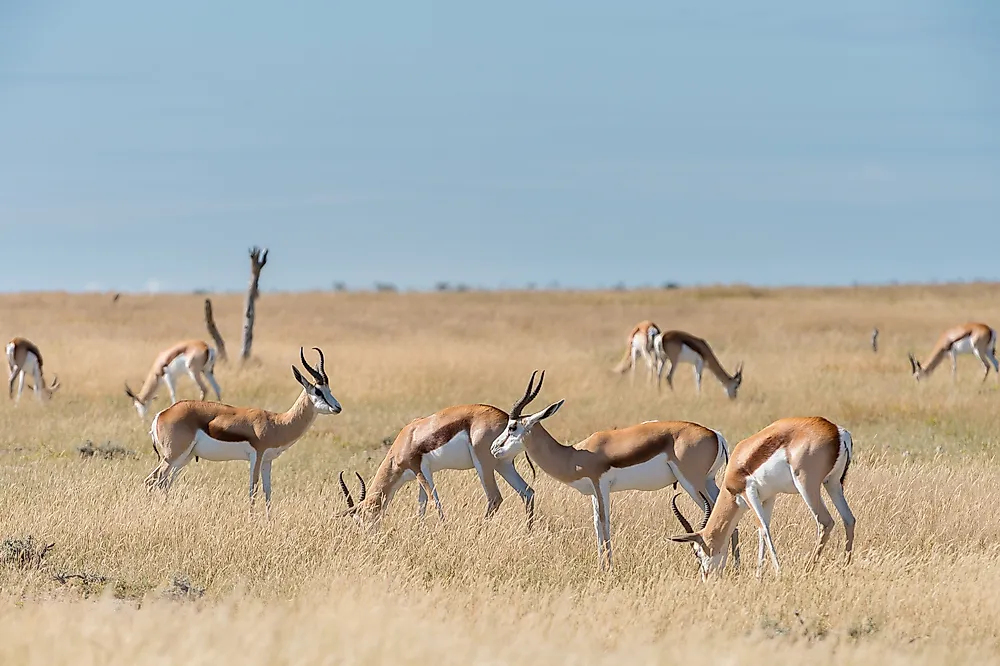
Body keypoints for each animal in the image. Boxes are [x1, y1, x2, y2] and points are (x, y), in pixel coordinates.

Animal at [144, 347, 341, 515]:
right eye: (318, 391)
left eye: (329, 389)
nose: (337, 408)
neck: (276, 423)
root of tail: (163, 413)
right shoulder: (257, 456)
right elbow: (253, 488)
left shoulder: (267, 460)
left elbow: (268, 491)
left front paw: (269, 521)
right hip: (173, 456)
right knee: (154, 479)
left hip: (185, 457)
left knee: (164, 482)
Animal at [336, 404, 537, 527]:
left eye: (360, 519)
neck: (407, 438)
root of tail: (507, 418)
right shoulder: (424, 474)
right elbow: (422, 505)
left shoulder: (419, 470)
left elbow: (434, 502)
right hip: (503, 465)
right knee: (527, 492)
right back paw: (528, 532)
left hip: (484, 464)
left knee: (495, 497)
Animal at [483, 370, 739, 571]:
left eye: (512, 426)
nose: (494, 448)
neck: (574, 455)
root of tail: (715, 435)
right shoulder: (593, 493)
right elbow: (597, 524)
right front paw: (601, 567)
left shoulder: (601, 484)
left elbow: (605, 522)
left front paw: (609, 569)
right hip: (708, 482)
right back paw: (734, 567)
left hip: (692, 483)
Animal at [669, 416, 855, 580]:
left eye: (698, 552)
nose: (705, 577)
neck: (737, 466)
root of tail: (838, 431)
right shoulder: (769, 497)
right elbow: (762, 530)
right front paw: (759, 575)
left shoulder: (748, 492)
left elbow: (763, 528)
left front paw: (778, 572)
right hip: (833, 483)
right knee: (849, 519)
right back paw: (845, 568)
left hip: (807, 485)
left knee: (825, 522)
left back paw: (807, 570)